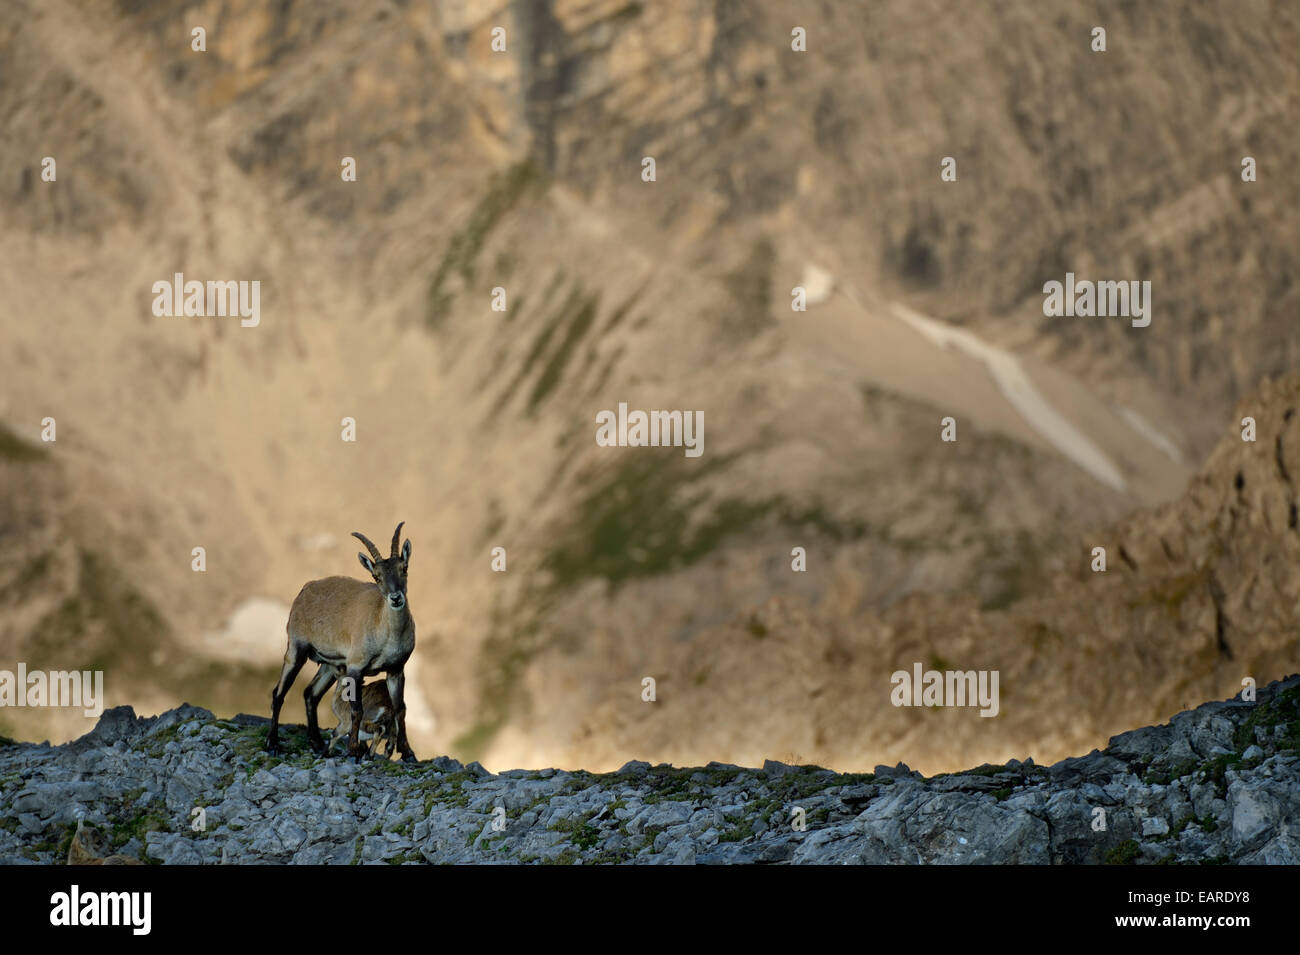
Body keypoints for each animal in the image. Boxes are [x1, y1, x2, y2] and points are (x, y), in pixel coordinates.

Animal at [266, 522, 417, 761]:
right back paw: (272, 743)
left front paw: (408, 752)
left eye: (405, 568)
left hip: (330, 664)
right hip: (296, 649)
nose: (395, 598)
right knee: (278, 693)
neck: (386, 634)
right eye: (376, 576)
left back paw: (317, 743)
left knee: (311, 694)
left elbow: (400, 708)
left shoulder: (396, 669)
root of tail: (304, 590)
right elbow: (357, 709)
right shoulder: (356, 666)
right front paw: (354, 749)